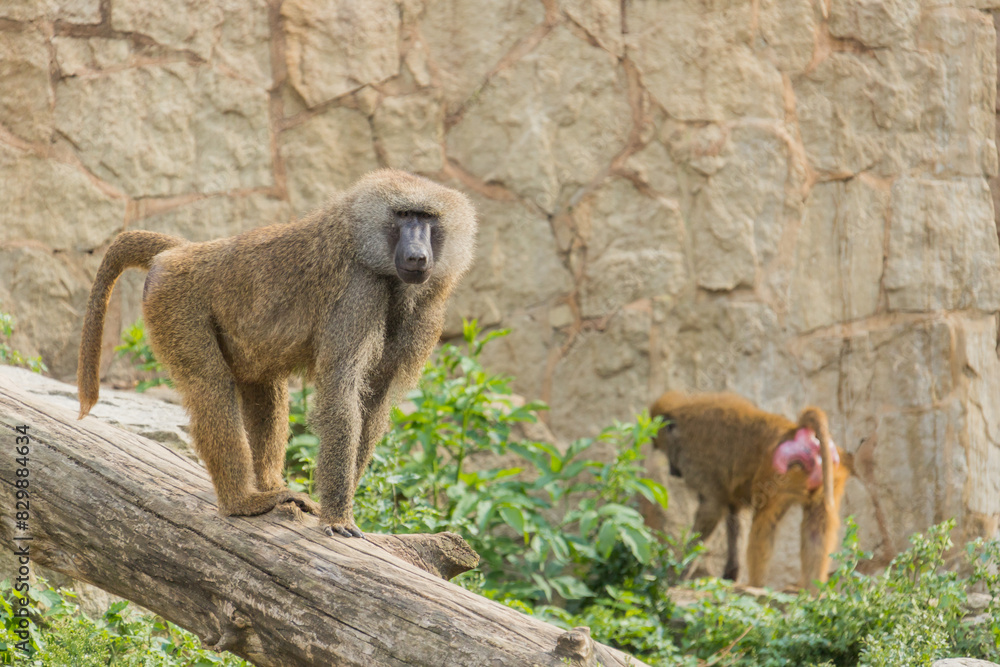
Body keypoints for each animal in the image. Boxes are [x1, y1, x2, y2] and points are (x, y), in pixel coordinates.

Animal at [77, 170, 477, 539]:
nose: (417, 255)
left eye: (427, 218)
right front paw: (338, 515)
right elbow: (341, 394)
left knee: (264, 388)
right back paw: (242, 502)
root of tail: (185, 252)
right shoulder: (358, 293)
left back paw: (269, 486)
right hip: (174, 302)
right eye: (403, 215)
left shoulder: (423, 309)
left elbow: (373, 401)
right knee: (210, 386)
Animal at [645, 391, 852, 590]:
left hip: (779, 473)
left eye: (661, 447)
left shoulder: (694, 464)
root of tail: (794, 431)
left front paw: (680, 575)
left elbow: (711, 509)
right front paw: (730, 575)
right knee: (816, 526)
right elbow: (734, 515)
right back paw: (812, 590)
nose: (672, 471)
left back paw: (755, 585)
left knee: (764, 523)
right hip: (826, 474)